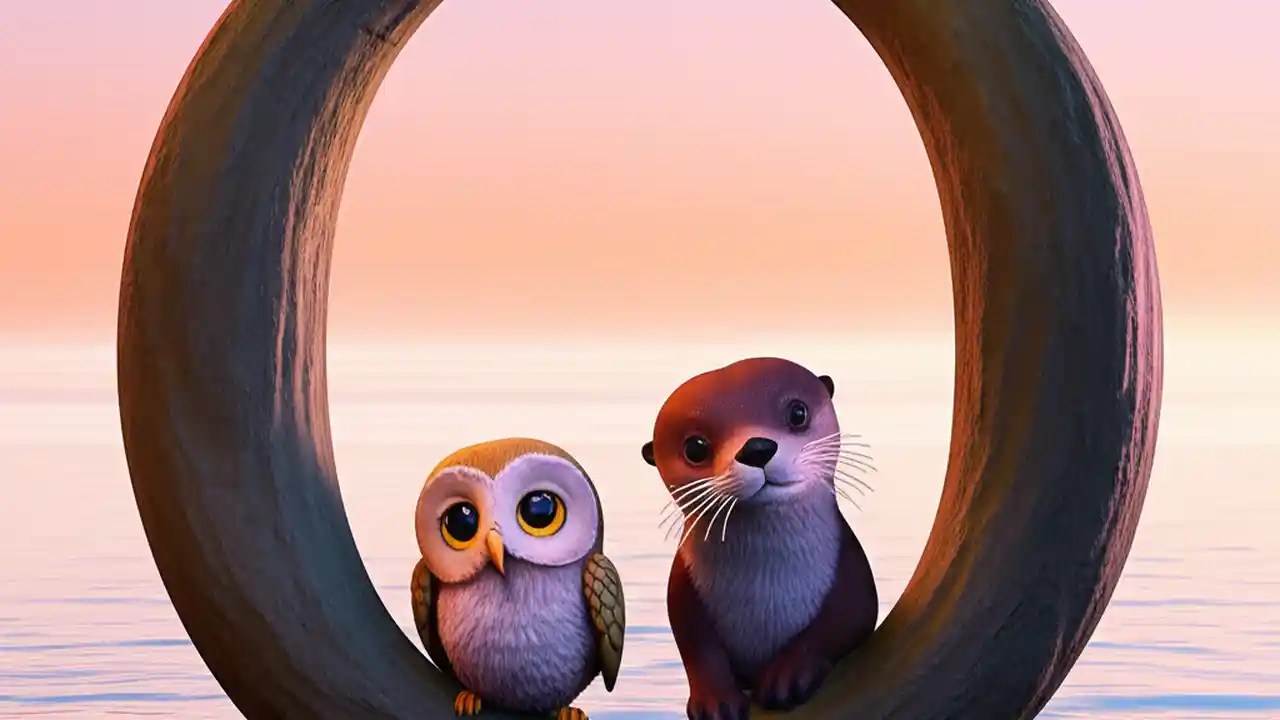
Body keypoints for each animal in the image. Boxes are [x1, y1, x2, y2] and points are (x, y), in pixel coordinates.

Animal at [642, 358, 878, 720]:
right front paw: (715, 701)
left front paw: (788, 676)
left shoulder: (850, 568)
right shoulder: (683, 586)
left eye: (798, 413)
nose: (757, 448)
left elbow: (844, 619)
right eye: (695, 448)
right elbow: (695, 643)